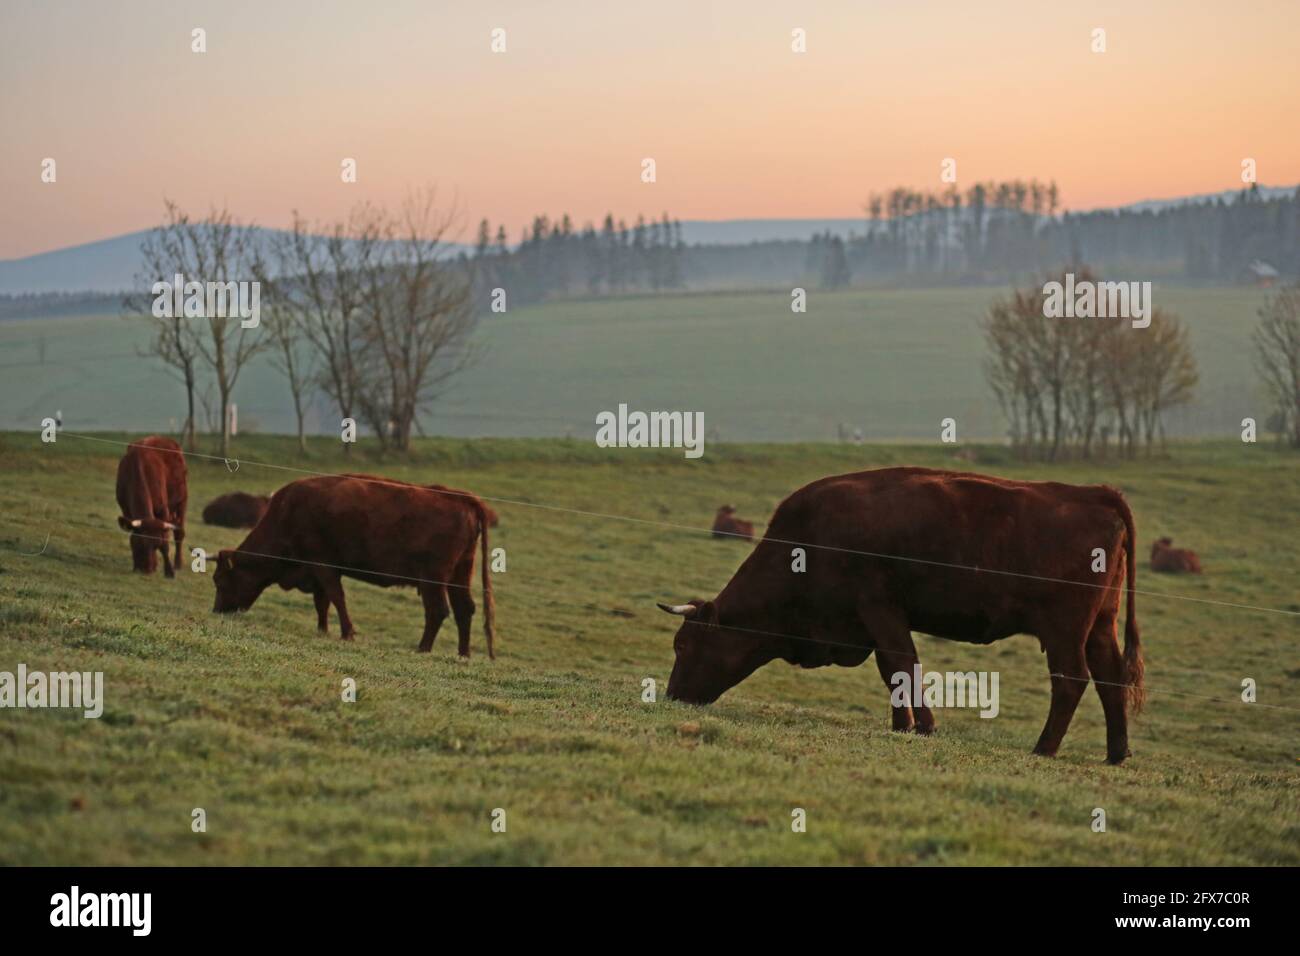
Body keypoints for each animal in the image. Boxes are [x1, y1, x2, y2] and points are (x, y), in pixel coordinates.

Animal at [115, 436, 187, 577]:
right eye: (139, 544)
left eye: (156, 546)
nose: (147, 570)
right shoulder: (126, 510)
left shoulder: (163, 510)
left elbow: (166, 543)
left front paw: (169, 570)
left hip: (182, 500)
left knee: (179, 533)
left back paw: (178, 563)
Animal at [212, 474, 496, 658]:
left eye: (221, 580)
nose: (217, 611)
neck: (286, 513)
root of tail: (463, 499)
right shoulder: (319, 571)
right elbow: (323, 602)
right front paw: (323, 630)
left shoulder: (323, 564)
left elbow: (336, 598)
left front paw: (346, 633)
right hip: (460, 574)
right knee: (464, 609)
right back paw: (463, 654)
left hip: (432, 579)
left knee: (437, 610)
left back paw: (423, 648)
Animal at [659, 467, 1144, 764]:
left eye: (685, 644)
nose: (672, 696)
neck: (807, 543)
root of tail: (1096, 495)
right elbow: (892, 671)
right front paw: (901, 726)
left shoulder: (879, 609)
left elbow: (901, 665)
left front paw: (923, 726)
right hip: (1099, 627)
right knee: (1110, 678)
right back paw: (1116, 752)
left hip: (1064, 631)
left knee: (1071, 681)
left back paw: (1044, 748)